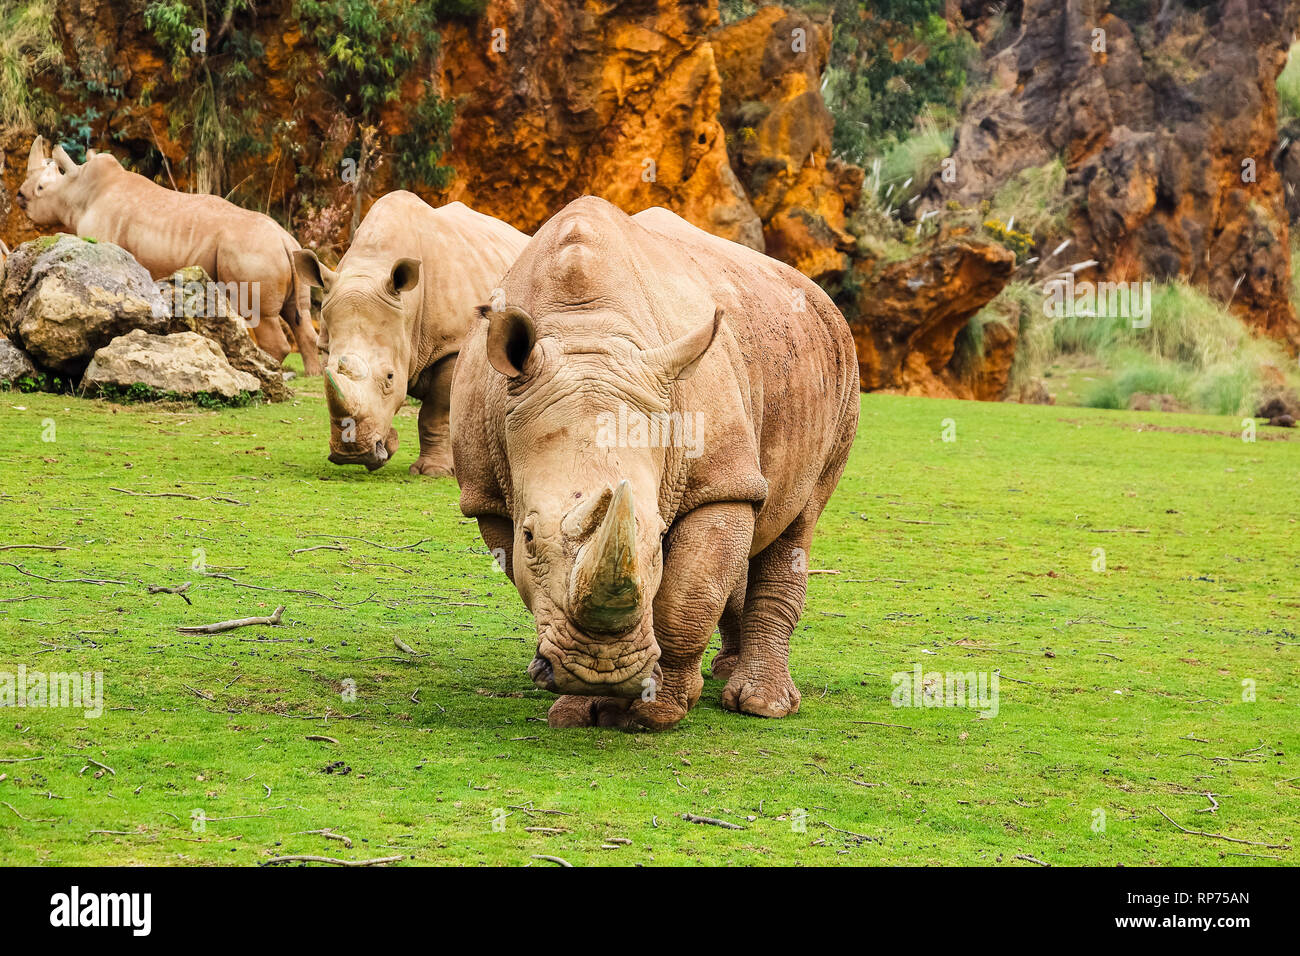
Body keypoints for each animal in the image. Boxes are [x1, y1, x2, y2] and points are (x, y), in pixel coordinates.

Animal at [16, 136, 320, 374]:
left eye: (40, 189)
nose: (19, 196)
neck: (77, 189)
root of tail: (283, 238)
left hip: (252, 251)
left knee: (260, 316)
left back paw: (267, 368)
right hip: (290, 254)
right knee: (300, 314)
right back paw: (312, 376)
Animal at [293, 192, 528, 475]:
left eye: (390, 377)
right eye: (326, 370)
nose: (352, 454)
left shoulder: (452, 345)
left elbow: (435, 412)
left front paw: (432, 471)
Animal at [451, 196, 859, 730]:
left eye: (659, 535)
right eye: (529, 536)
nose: (601, 668)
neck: (586, 332)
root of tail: (816, 293)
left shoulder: (719, 481)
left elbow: (688, 597)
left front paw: (655, 713)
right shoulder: (488, 495)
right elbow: (540, 587)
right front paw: (577, 710)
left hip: (840, 366)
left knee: (800, 516)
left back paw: (762, 705)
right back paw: (725, 673)